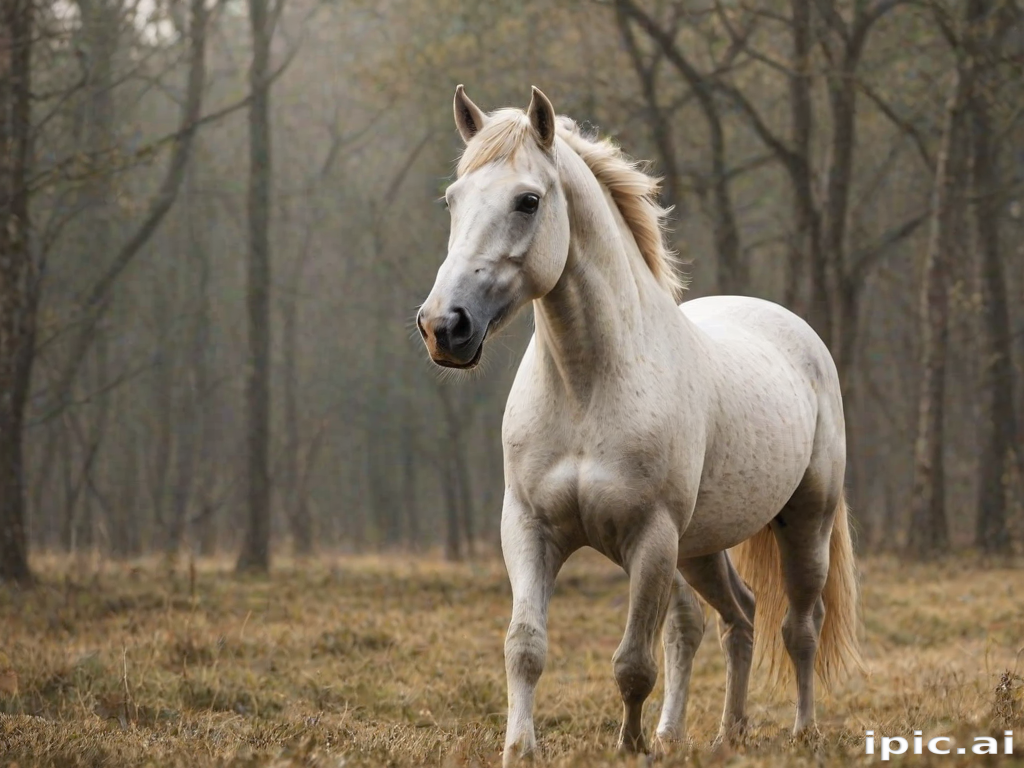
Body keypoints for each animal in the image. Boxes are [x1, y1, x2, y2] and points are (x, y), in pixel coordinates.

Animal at [416, 85, 863, 765]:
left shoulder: (650, 539)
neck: (588, 388)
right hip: (700, 547)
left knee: (798, 627)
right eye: (453, 199)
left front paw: (629, 746)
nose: (445, 326)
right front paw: (521, 748)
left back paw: (801, 732)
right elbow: (525, 646)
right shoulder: (528, 528)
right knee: (730, 618)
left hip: (803, 523)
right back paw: (718, 733)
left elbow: (633, 664)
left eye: (528, 201)